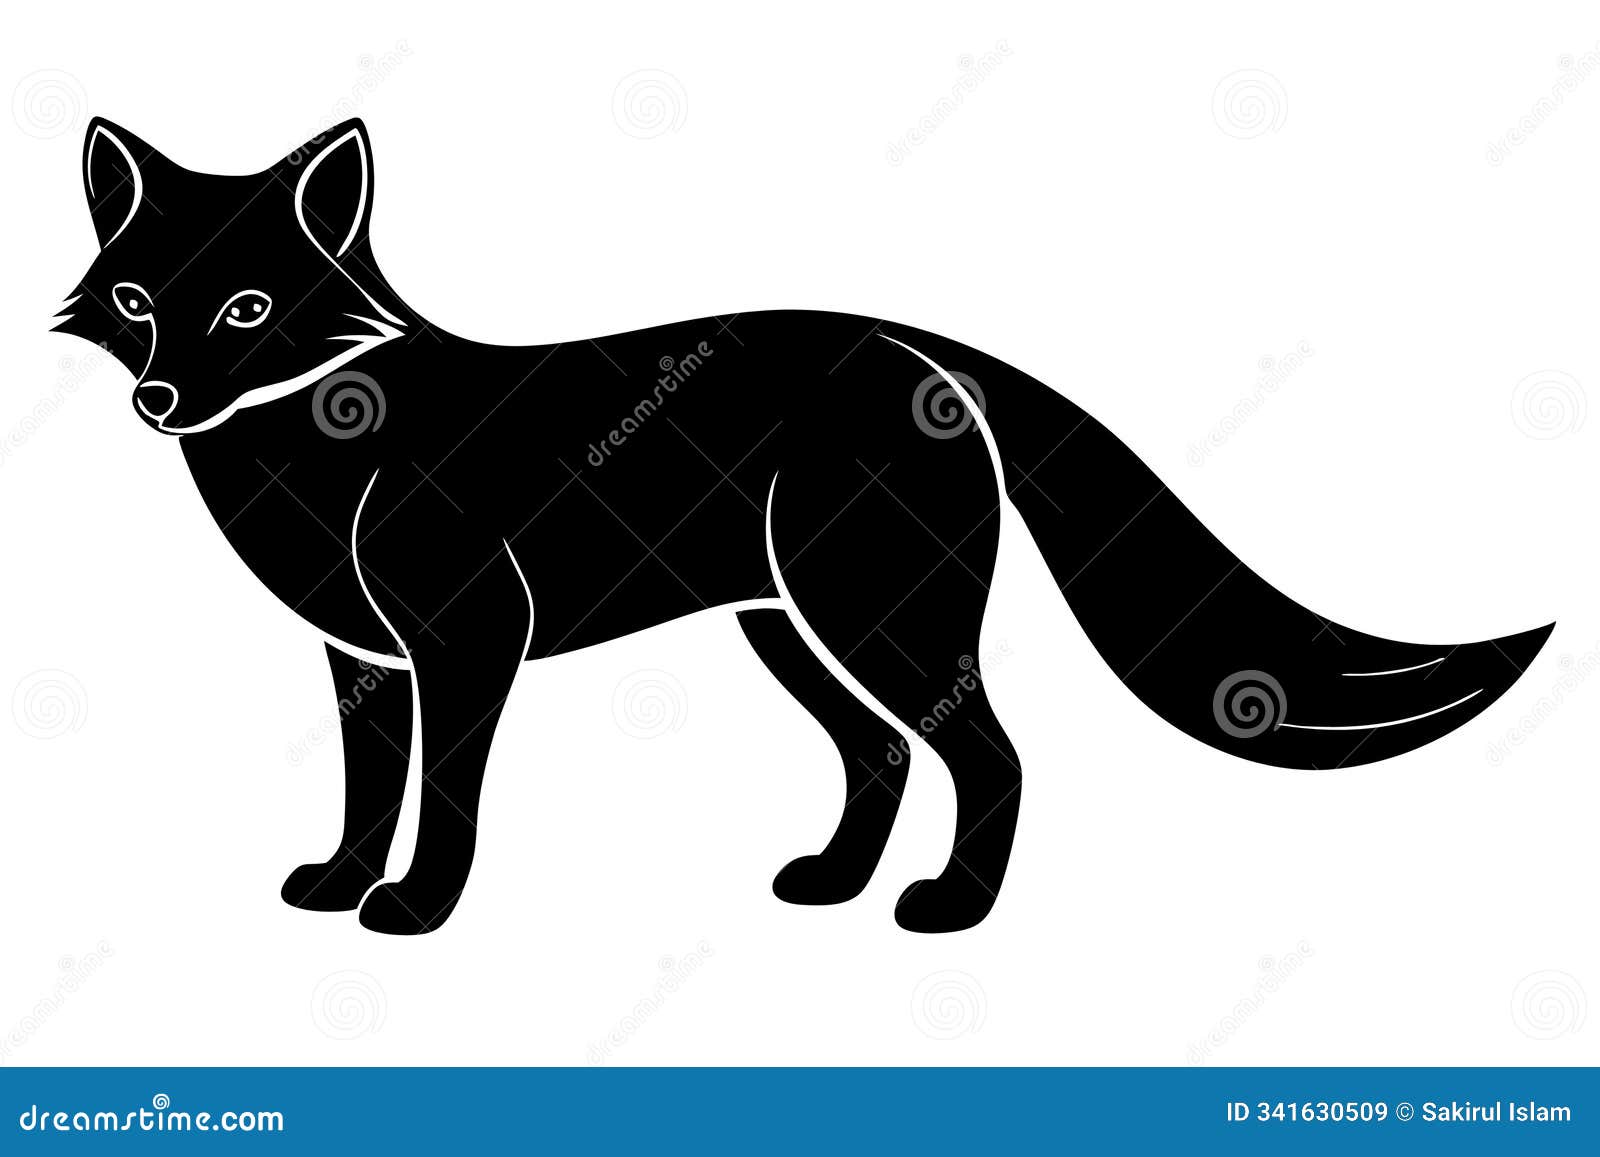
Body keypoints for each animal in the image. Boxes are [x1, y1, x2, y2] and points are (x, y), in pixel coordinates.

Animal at [53, 117, 1552, 935]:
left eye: (250, 307)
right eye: (137, 299)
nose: (160, 394)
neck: (308, 451)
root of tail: (915, 346)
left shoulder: (466, 640)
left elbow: (446, 796)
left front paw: (417, 911)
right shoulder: (361, 658)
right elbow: (367, 788)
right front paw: (336, 880)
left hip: (872, 613)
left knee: (992, 756)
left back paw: (948, 910)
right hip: (791, 627)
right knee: (884, 756)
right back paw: (832, 883)